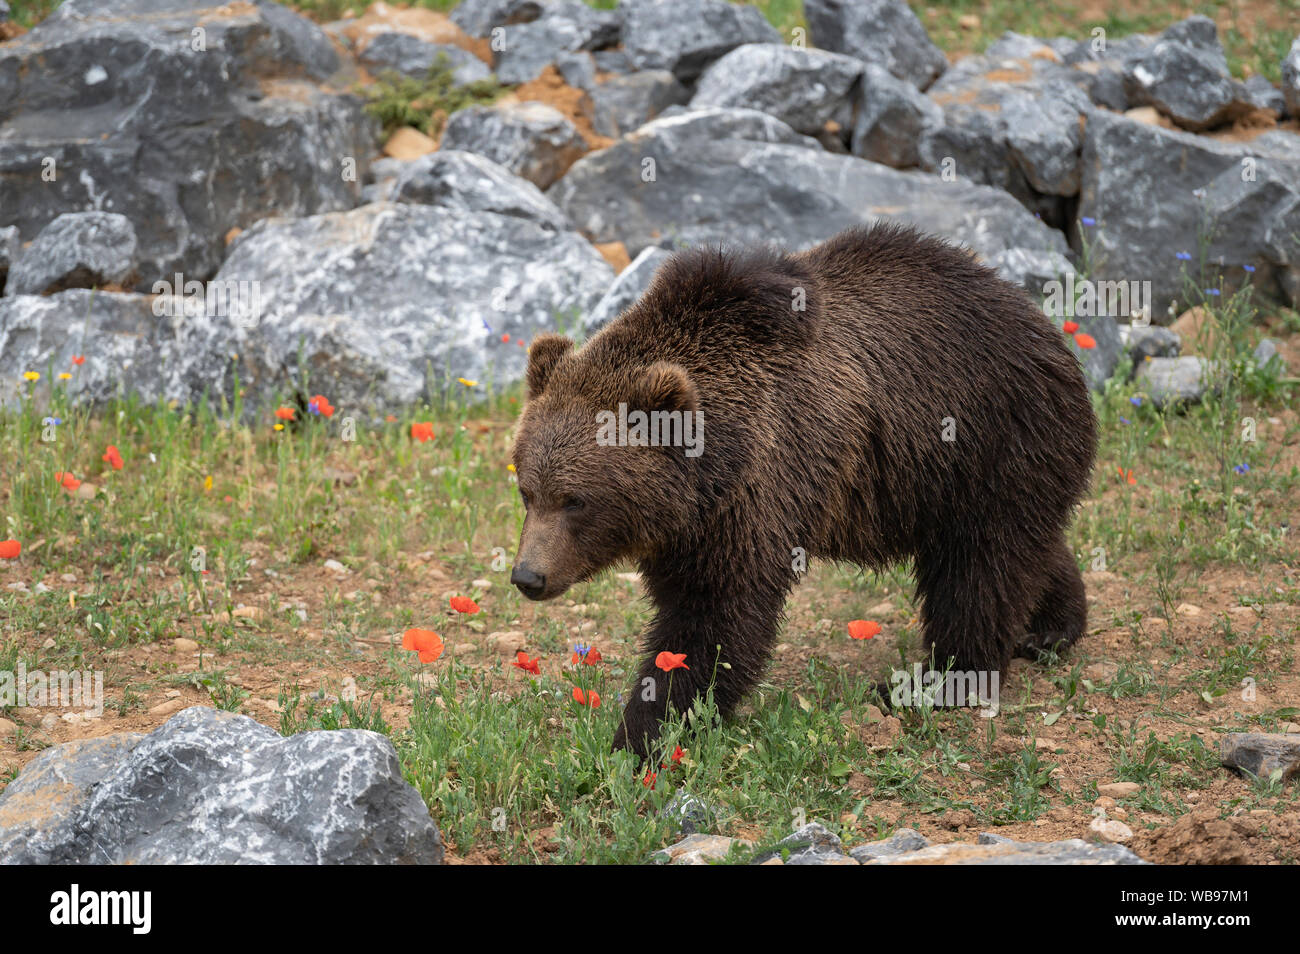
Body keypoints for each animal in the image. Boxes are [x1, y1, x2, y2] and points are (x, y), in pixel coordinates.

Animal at [510, 223, 1098, 758]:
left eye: (576, 500)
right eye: (527, 489)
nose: (528, 576)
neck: (713, 466)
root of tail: (1045, 327)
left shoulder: (762, 482)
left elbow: (714, 618)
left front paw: (642, 733)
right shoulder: (689, 525)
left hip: (991, 437)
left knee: (980, 568)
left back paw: (935, 680)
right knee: (1022, 547)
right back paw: (1050, 627)